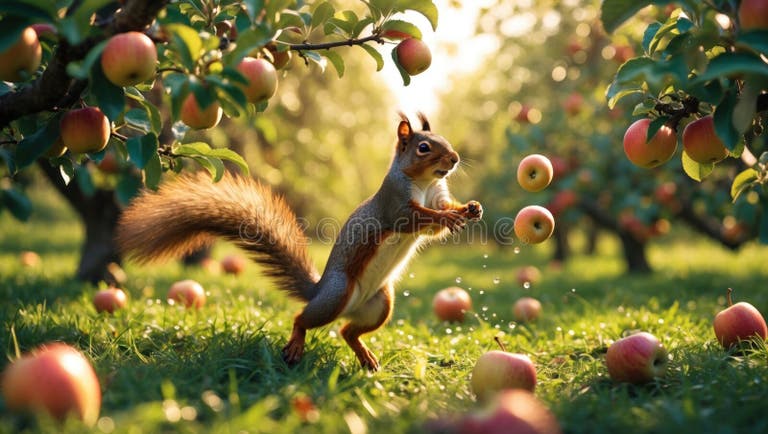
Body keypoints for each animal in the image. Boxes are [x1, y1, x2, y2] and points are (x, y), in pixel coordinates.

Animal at [116, 112, 483, 370]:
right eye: (424, 148)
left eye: (444, 139)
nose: (454, 159)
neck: (423, 183)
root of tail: (318, 290)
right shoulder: (395, 204)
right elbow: (416, 218)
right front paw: (449, 218)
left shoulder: (437, 195)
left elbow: (437, 216)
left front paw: (470, 209)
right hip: (336, 295)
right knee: (303, 319)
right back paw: (296, 345)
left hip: (380, 305)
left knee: (347, 331)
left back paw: (365, 356)